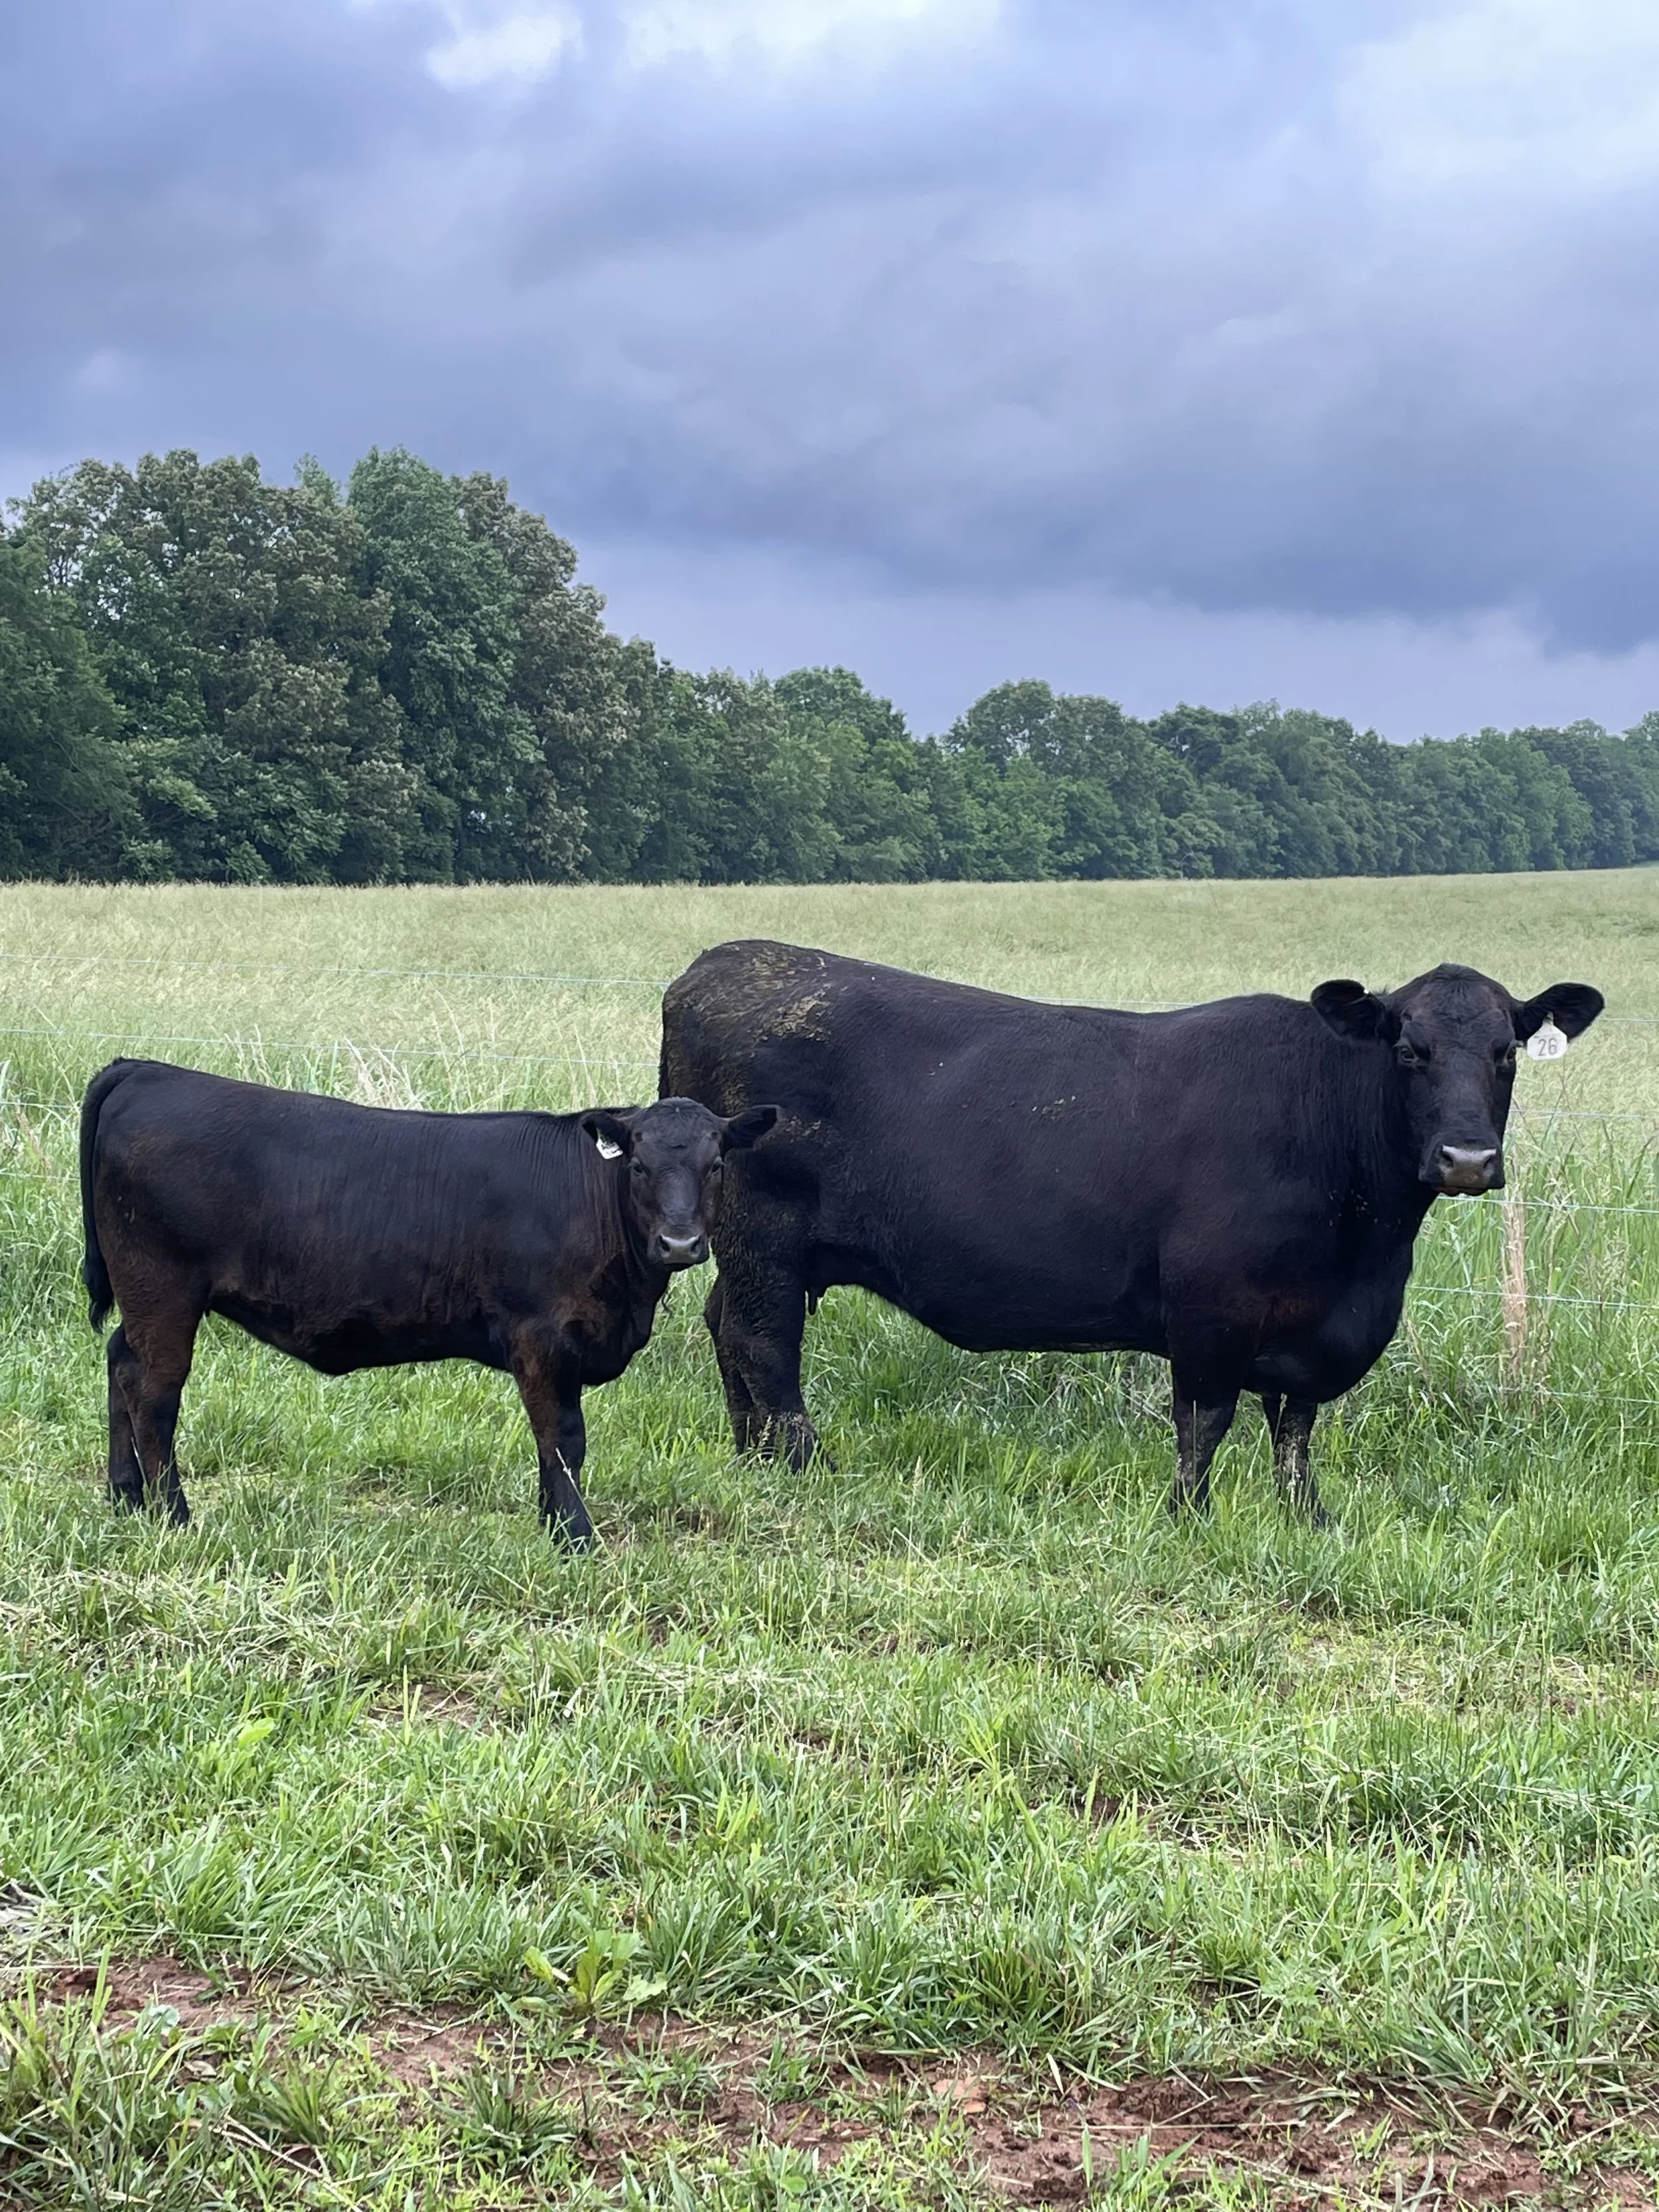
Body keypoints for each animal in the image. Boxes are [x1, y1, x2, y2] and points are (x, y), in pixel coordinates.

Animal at [79, 1058, 777, 1542]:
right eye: (637, 1165)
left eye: (716, 1165)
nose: (680, 1242)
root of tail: (146, 1070)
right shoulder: (542, 1339)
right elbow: (562, 1436)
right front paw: (575, 1536)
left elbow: (554, 1446)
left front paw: (553, 1521)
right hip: (164, 1290)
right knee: (154, 1393)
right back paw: (171, 1514)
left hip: (145, 1298)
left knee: (119, 1363)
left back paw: (123, 1495)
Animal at [659, 942, 1604, 1522]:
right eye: (1408, 1050)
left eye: (1506, 1054)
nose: (1466, 1158)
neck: (1363, 1253)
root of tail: (719, 964)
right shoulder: (1210, 1306)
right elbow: (1205, 1419)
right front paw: (1191, 1515)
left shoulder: (1320, 1328)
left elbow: (1296, 1428)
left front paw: (1306, 1516)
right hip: (766, 1235)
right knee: (763, 1343)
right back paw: (802, 1466)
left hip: (746, 1247)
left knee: (724, 1326)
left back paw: (748, 1456)